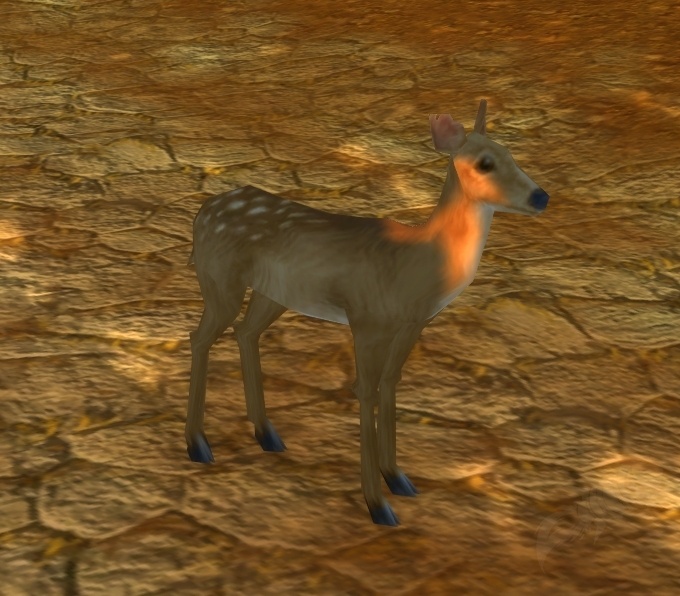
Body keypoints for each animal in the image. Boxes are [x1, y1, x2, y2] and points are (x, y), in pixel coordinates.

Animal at [185, 99, 549, 526]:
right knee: (200, 337)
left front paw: (400, 480)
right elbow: (365, 390)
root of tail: (203, 212)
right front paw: (379, 506)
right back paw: (198, 445)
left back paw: (267, 435)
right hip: (220, 277)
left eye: (512, 153)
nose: (541, 197)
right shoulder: (366, 317)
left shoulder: (412, 323)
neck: (417, 265)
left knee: (245, 332)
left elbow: (391, 384)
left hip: (275, 292)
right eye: (485, 163)